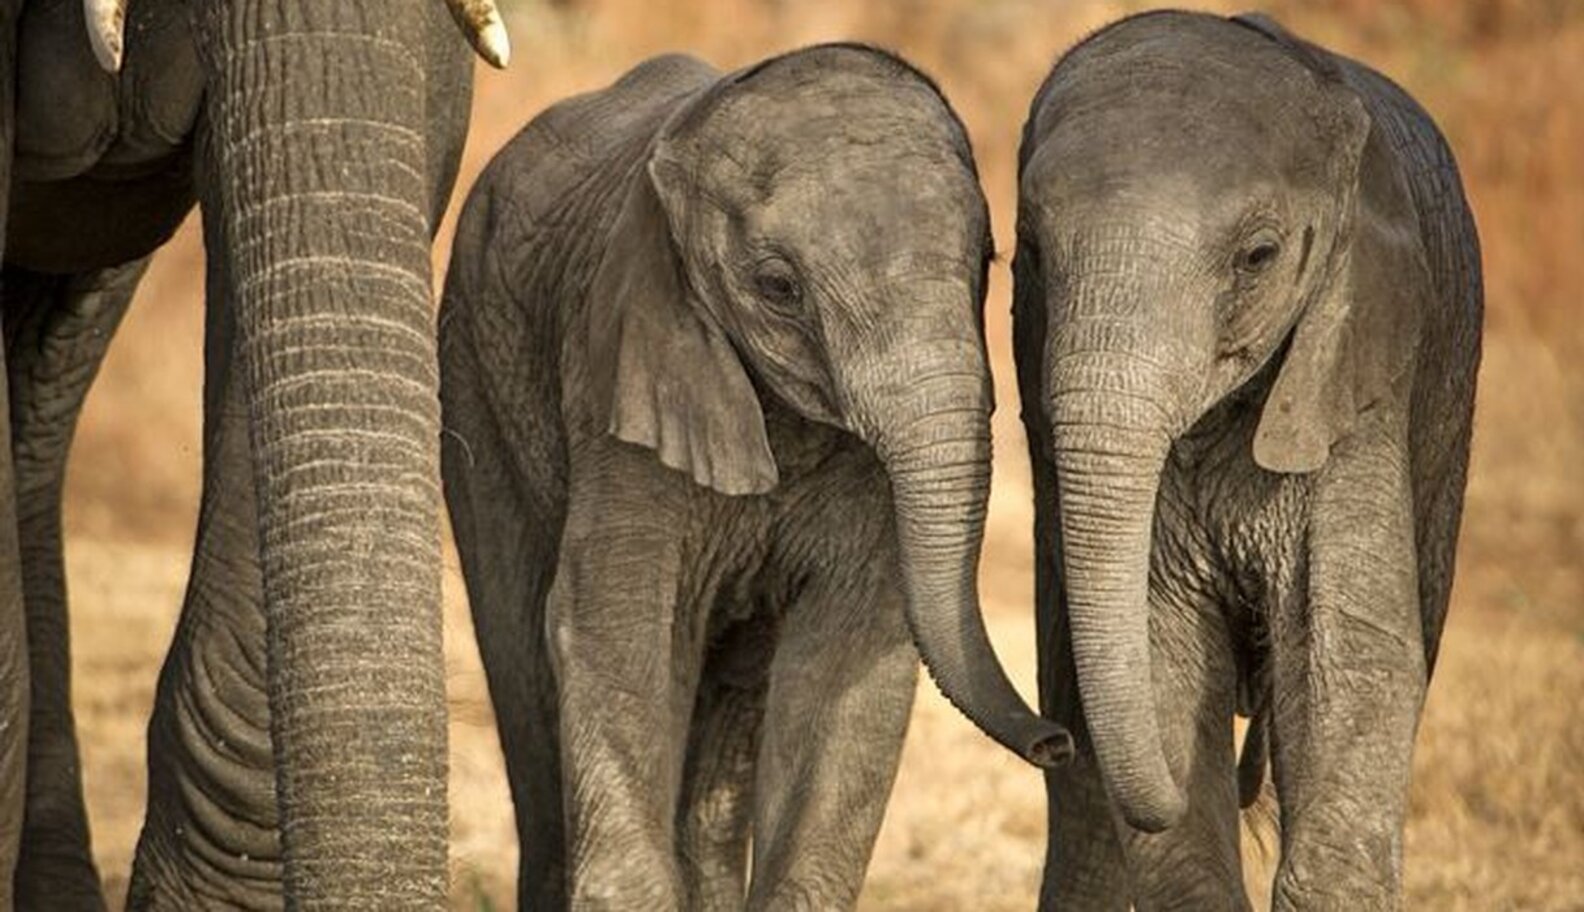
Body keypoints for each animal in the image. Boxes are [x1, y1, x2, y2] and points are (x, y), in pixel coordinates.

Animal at [440, 45, 1073, 910]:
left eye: (986, 262)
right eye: (778, 288)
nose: (1057, 743)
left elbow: (841, 659)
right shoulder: (623, 389)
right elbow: (613, 628)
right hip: (477, 369)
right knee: (525, 667)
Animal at [1011, 11, 1481, 910]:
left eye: (1258, 257)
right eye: (1031, 251)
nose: (1048, 743)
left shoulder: (1359, 379)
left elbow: (1352, 656)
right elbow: (1160, 649)